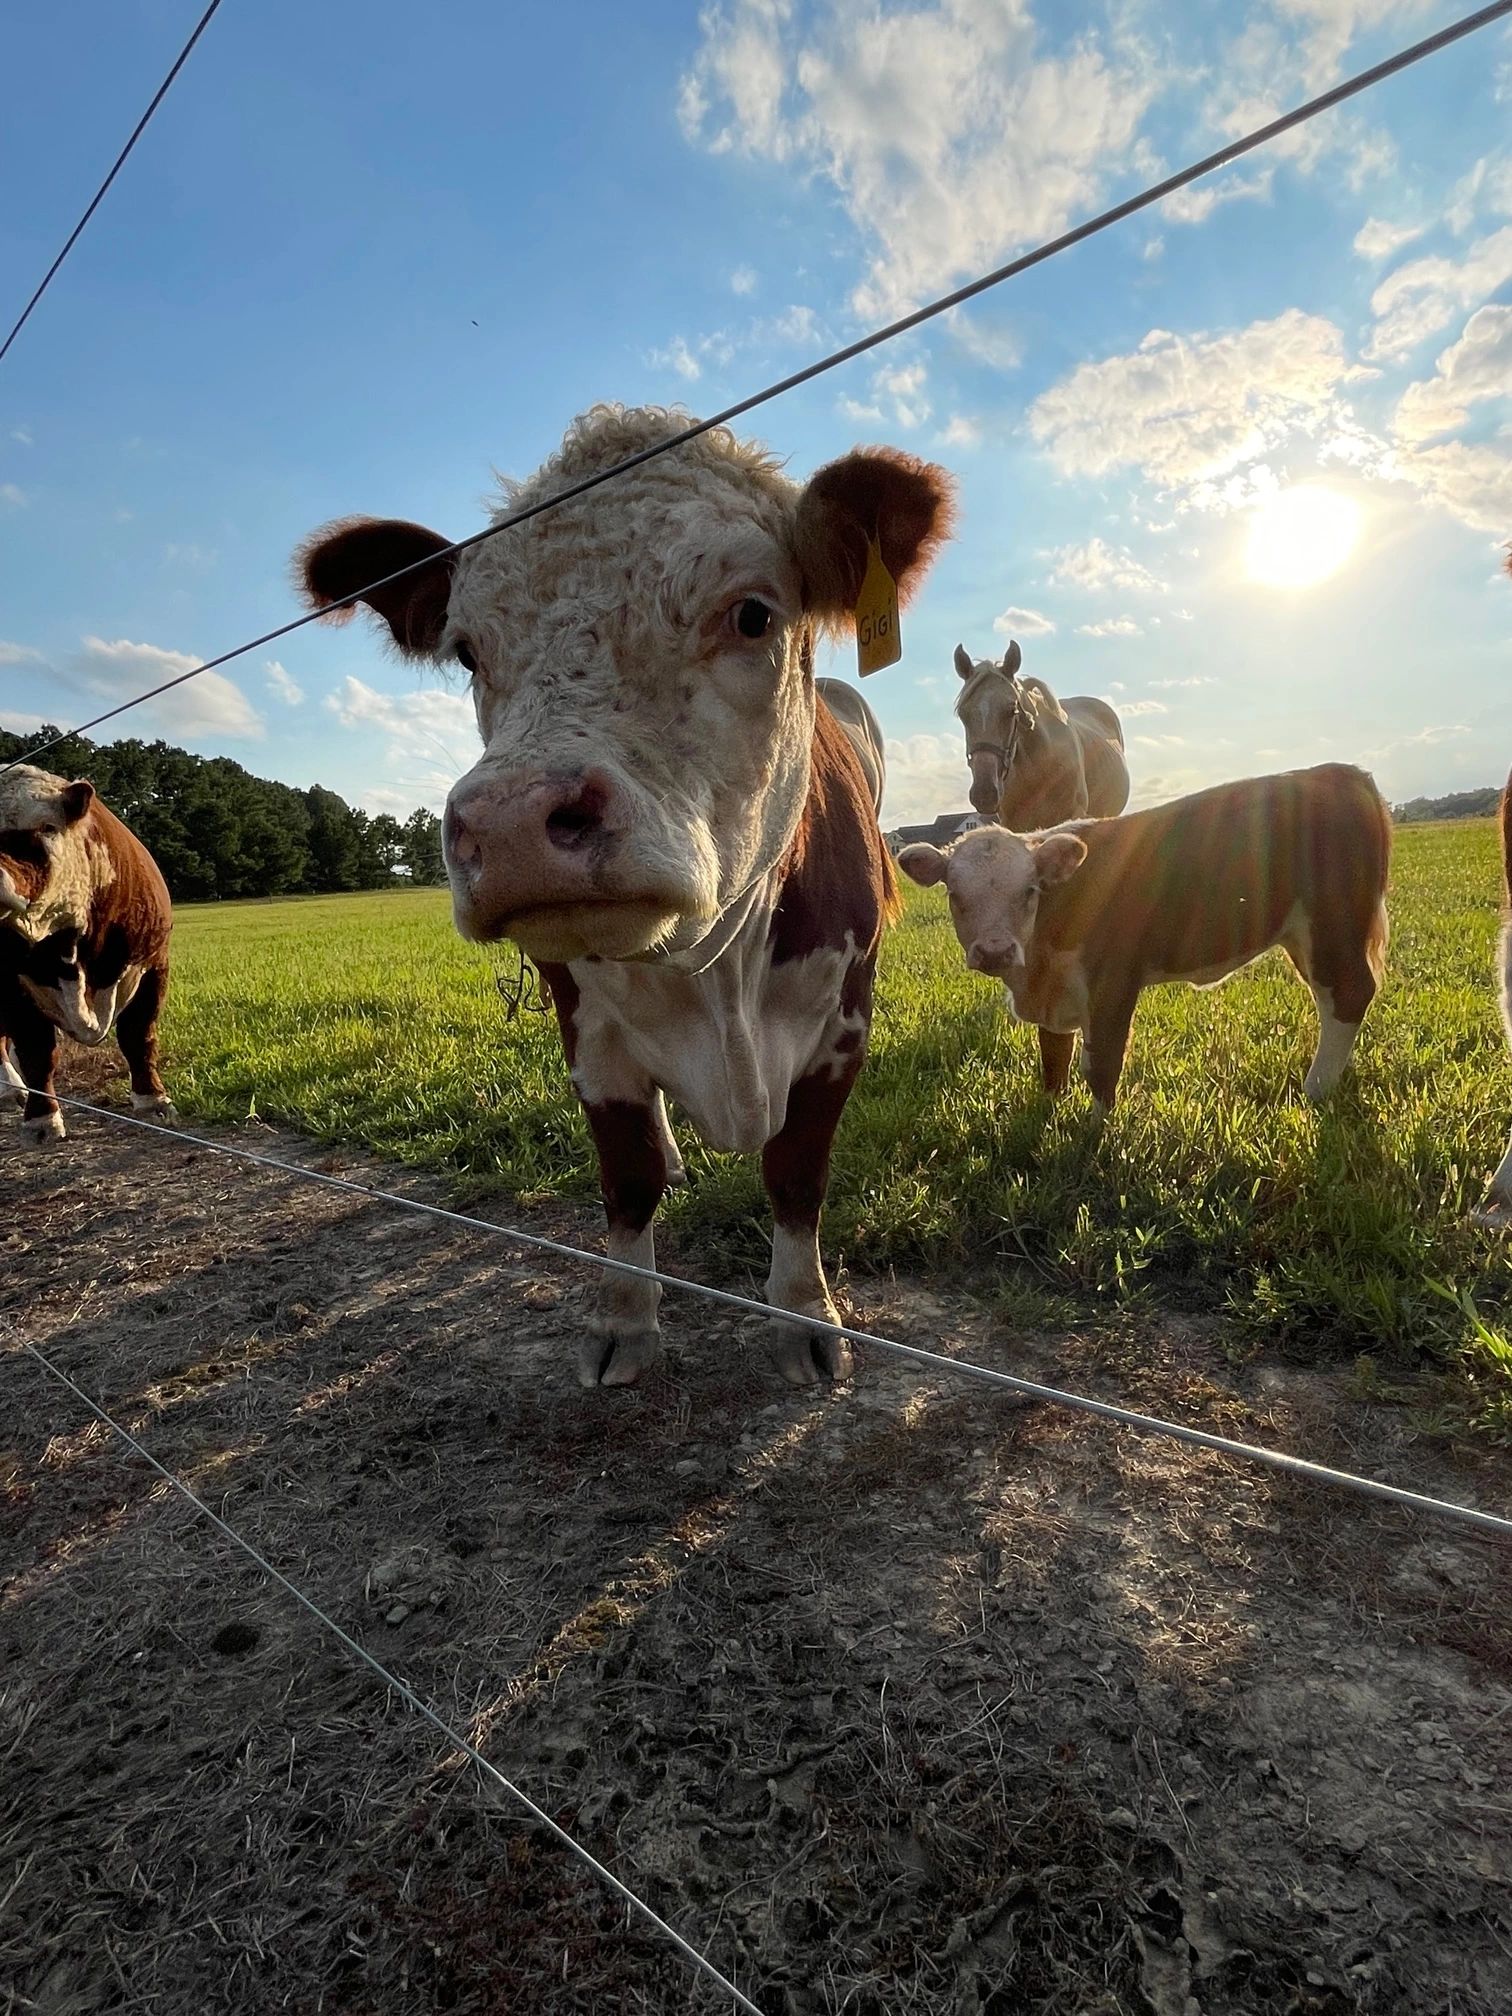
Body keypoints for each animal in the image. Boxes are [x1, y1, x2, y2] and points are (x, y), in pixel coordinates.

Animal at [0, 765, 174, 1142]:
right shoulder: (13, 987)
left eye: (47, 827)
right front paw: (43, 1120)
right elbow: (37, 1054)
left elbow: (139, 1036)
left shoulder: (153, 966)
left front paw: (152, 1099)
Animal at [298, 404, 953, 1388]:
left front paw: (805, 1314)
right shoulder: (589, 1031)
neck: (715, 971)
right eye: (468, 652)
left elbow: (798, 1174)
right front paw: (625, 1321)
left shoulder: (844, 1024)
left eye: (753, 614)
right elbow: (628, 1176)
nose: (513, 822)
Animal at [899, 764, 1389, 1112]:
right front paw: (1048, 1111)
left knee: (1349, 995)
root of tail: (1338, 772)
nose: (995, 951)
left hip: (1334, 924)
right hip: (1307, 935)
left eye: (1030, 890)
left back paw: (1316, 1089)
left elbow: (1102, 1064)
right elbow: (1054, 1057)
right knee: (1334, 999)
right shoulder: (1052, 994)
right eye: (955, 894)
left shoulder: (1115, 979)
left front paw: (1092, 1137)